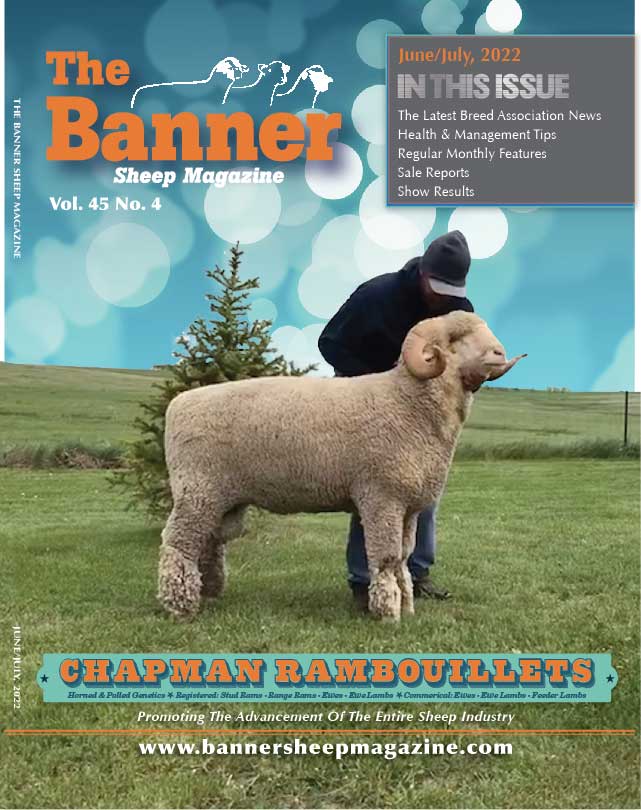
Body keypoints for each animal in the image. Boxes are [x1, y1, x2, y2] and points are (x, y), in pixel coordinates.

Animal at [158, 311, 524, 622]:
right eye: (456, 339)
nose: (499, 352)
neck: (408, 402)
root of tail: (177, 404)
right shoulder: (382, 497)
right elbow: (386, 557)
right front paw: (387, 612)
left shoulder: (410, 506)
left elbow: (403, 558)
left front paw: (407, 604)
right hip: (197, 490)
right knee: (178, 543)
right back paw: (179, 605)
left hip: (224, 500)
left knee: (209, 542)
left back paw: (208, 592)